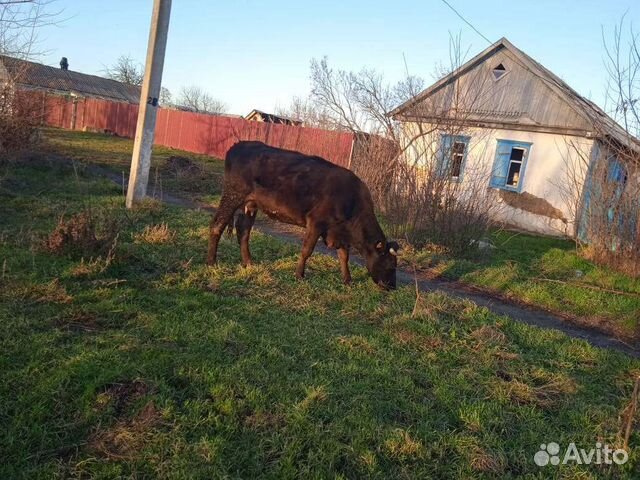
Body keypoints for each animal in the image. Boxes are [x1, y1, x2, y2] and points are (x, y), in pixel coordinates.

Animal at [207, 141, 399, 289]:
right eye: (391, 265)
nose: (392, 287)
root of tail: (239, 145)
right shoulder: (316, 222)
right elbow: (307, 250)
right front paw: (299, 275)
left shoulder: (339, 231)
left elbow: (344, 256)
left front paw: (347, 280)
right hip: (232, 195)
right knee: (217, 225)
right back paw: (211, 263)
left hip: (251, 204)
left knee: (243, 230)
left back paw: (248, 263)